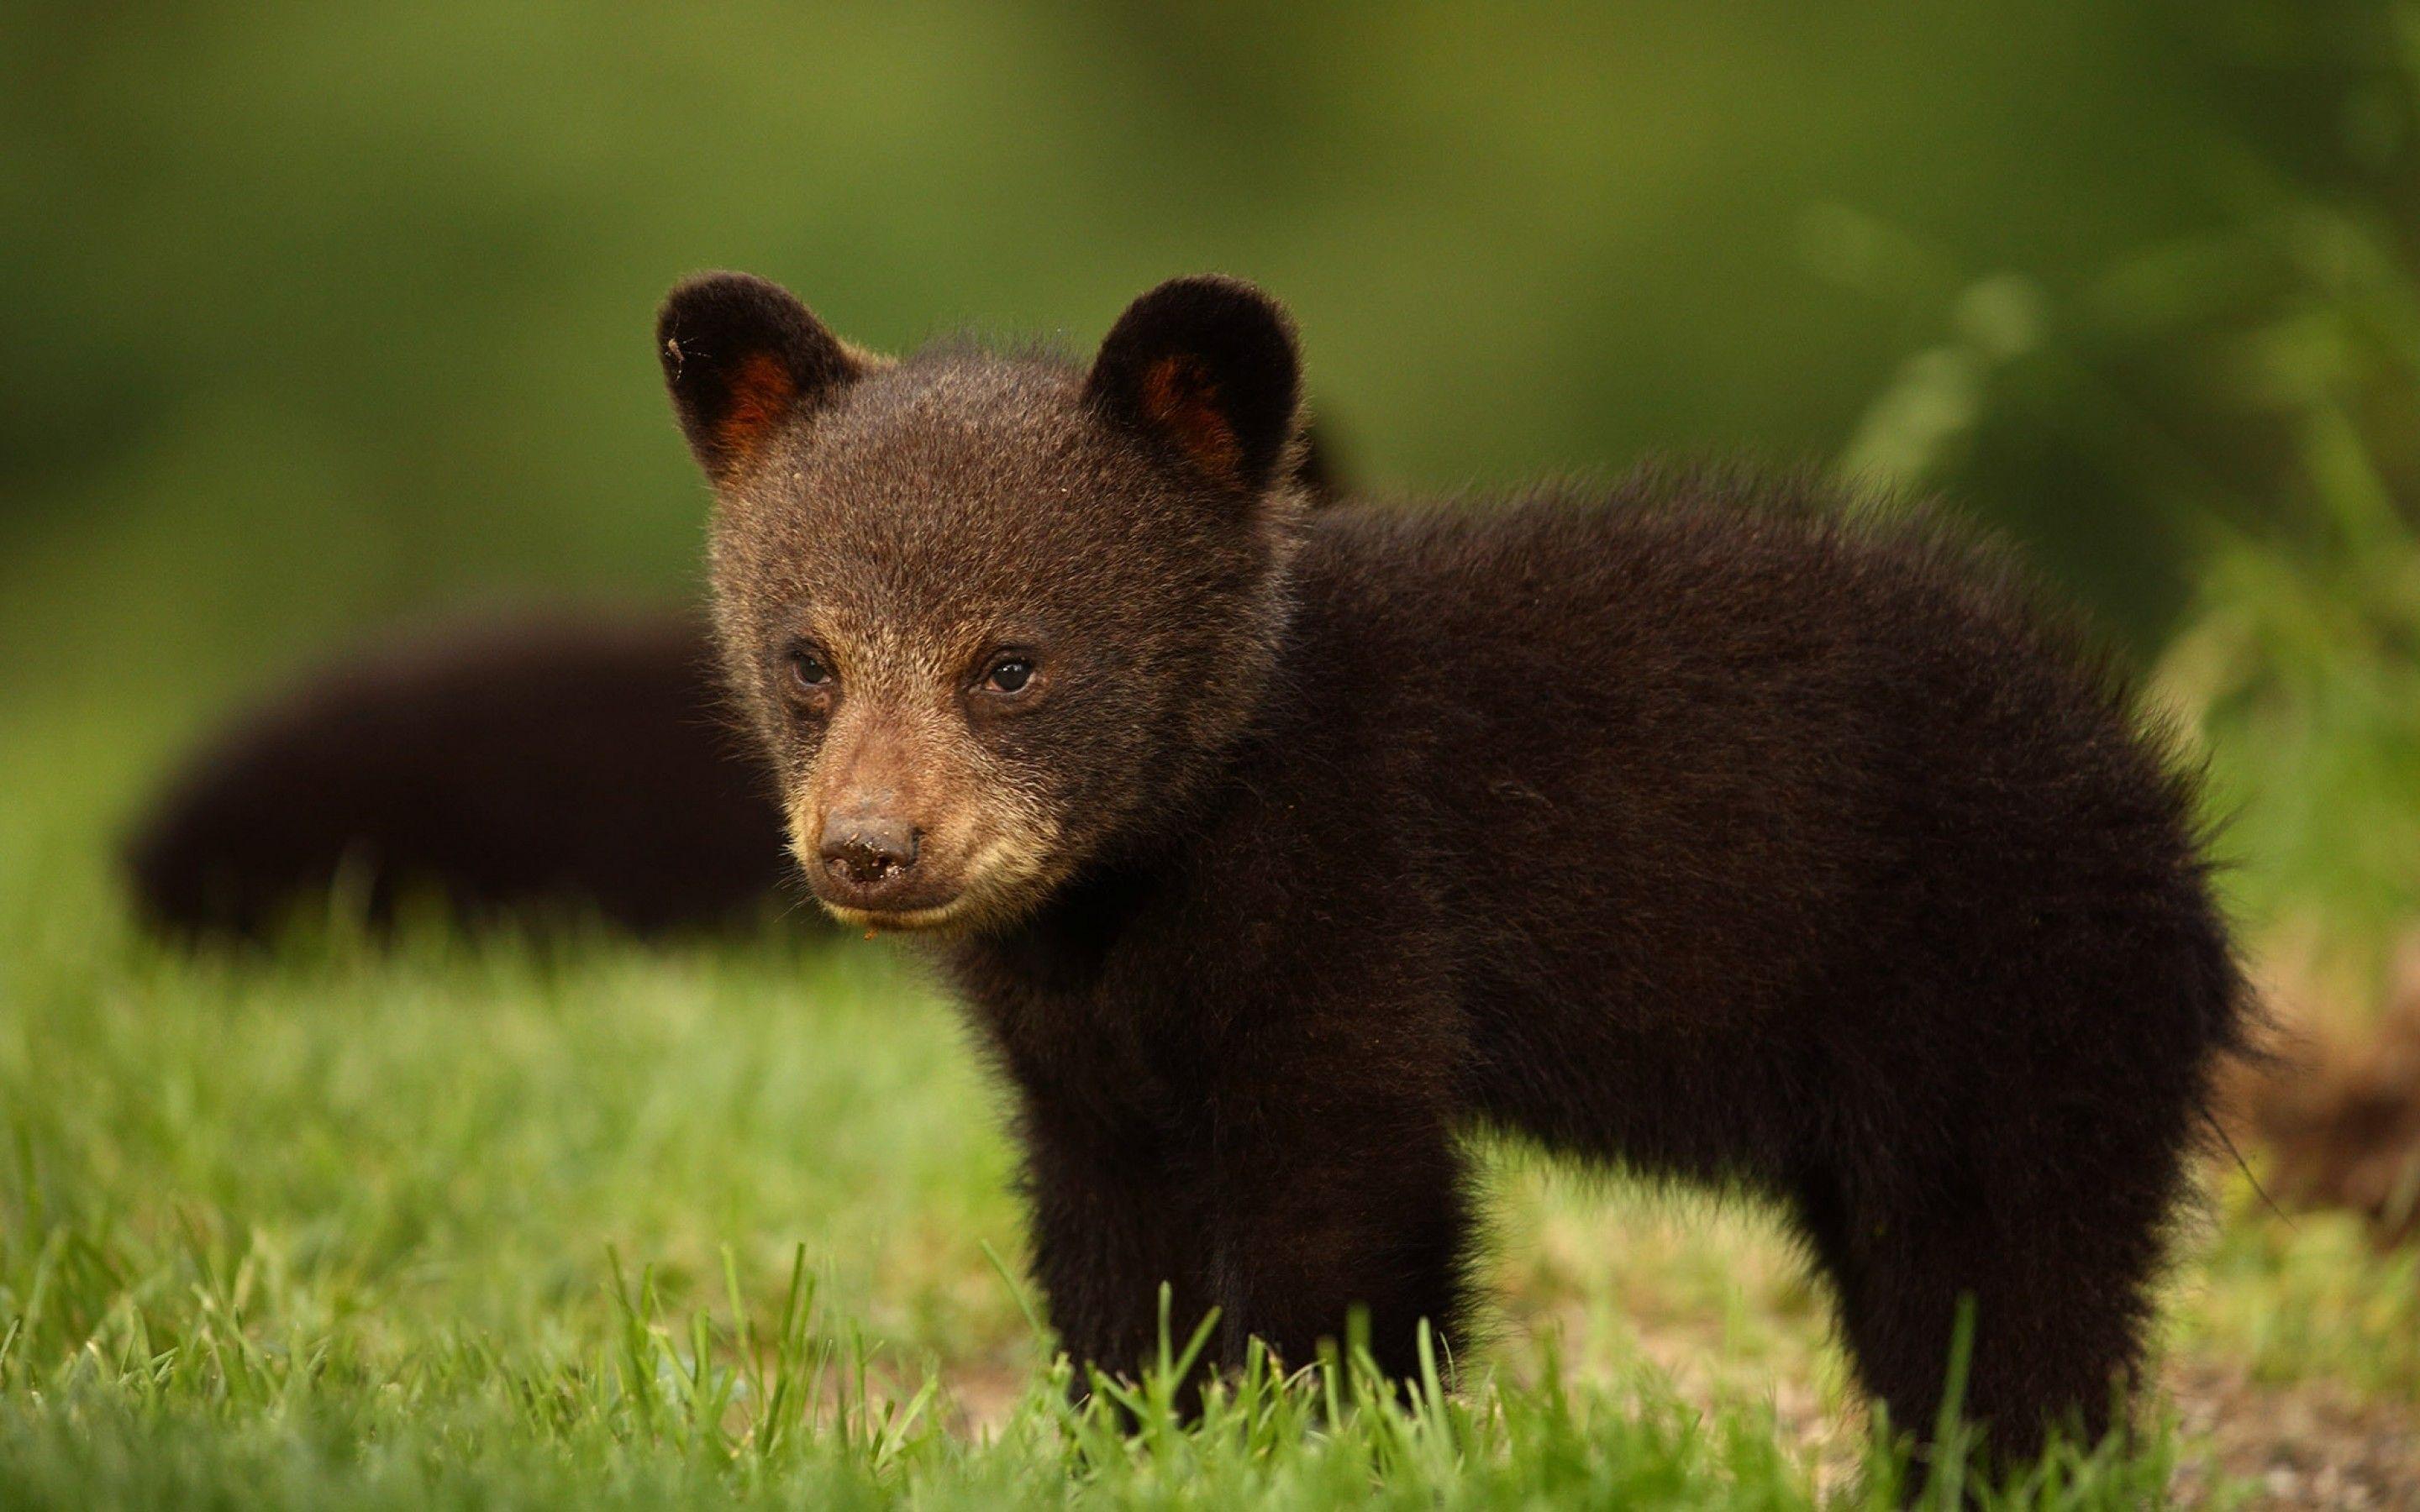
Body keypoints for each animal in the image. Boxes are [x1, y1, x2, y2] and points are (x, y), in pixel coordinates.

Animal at [655, 268, 2254, 1471]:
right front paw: (1133, 1439)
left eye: (1011, 664)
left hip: (2010, 1022)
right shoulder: (1086, 1057)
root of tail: (2166, 824)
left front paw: (1323, 1442)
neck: (1140, 883)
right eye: (807, 659)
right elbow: (1115, 1252)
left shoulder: (1356, 911)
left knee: (2010, 1294)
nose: (870, 847)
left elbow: (1349, 1223)